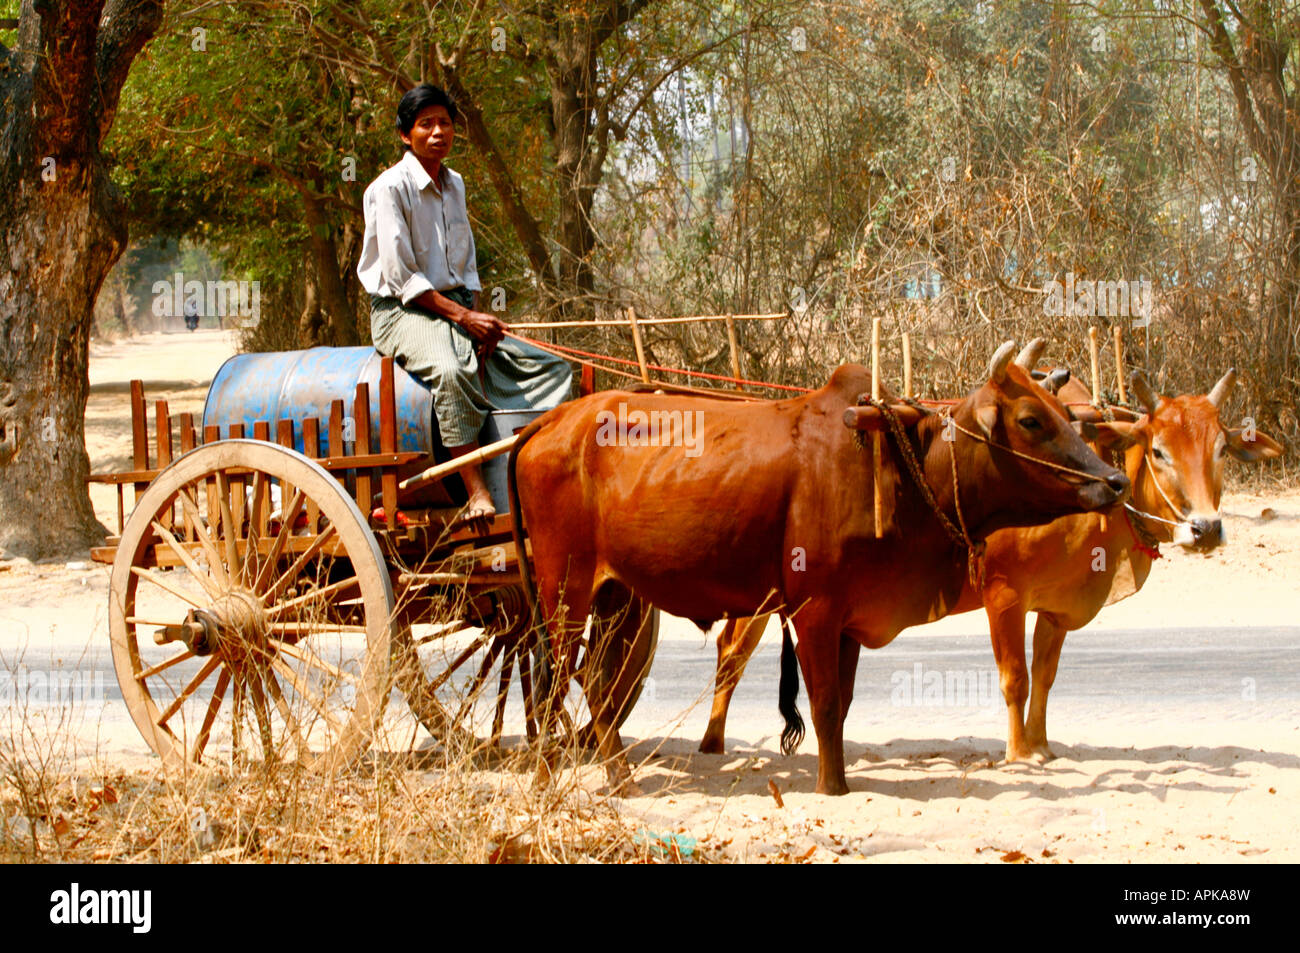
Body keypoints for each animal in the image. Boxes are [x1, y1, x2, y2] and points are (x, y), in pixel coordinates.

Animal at [508, 341, 1130, 794]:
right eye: (1030, 420)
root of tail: (548, 423)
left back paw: (619, 780)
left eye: (1065, 414)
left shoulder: (850, 620)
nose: (1115, 481)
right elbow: (826, 704)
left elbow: (843, 705)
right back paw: (544, 782)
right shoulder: (814, 612)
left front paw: (838, 779)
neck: (903, 468)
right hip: (564, 591)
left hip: (616, 596)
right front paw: (834, 789)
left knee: (595, 685)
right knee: (550, 685)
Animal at [699, 366, 1282, 765]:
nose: (1206, 528)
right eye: (1158, 450)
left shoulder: (1054, 609)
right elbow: (1015, 678)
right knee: (732, 656)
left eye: (1222, 449)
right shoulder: (1004, 596)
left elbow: (1045, 677)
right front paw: (1020, 753)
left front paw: (1042, 745)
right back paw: (711, 742)